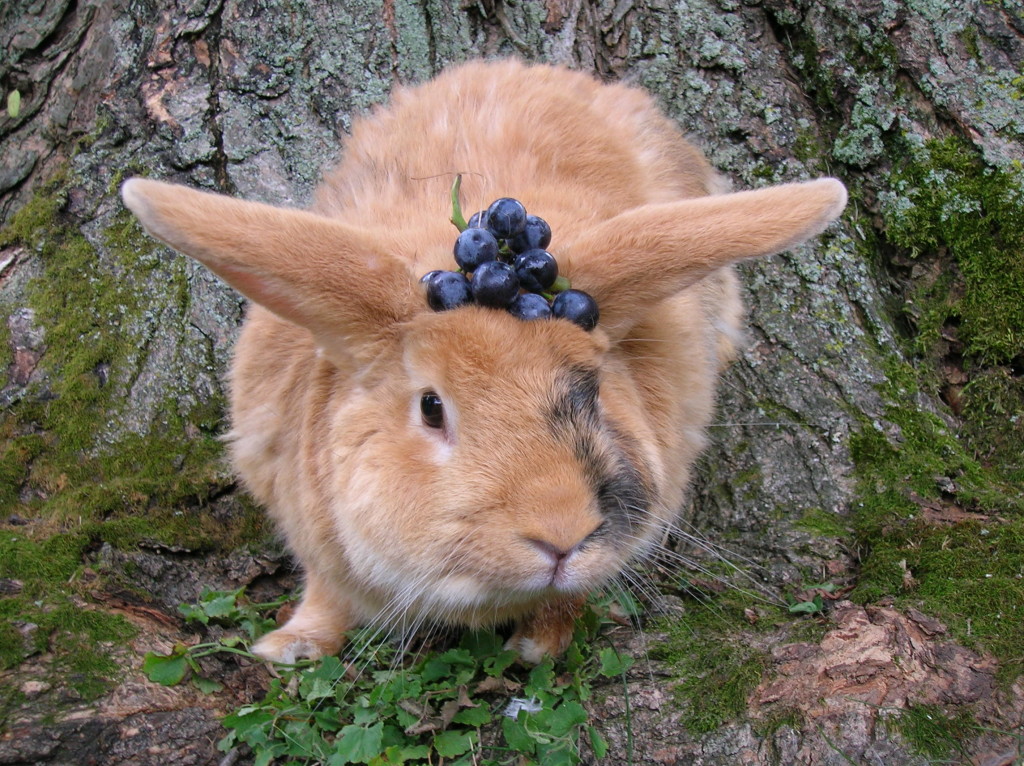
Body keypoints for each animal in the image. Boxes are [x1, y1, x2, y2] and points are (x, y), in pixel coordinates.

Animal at [121, 58, 846, 665]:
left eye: (592, 391)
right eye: (431, 407)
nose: (560, 535)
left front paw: (537, 646)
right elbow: (324, 591)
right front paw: (289, 647)